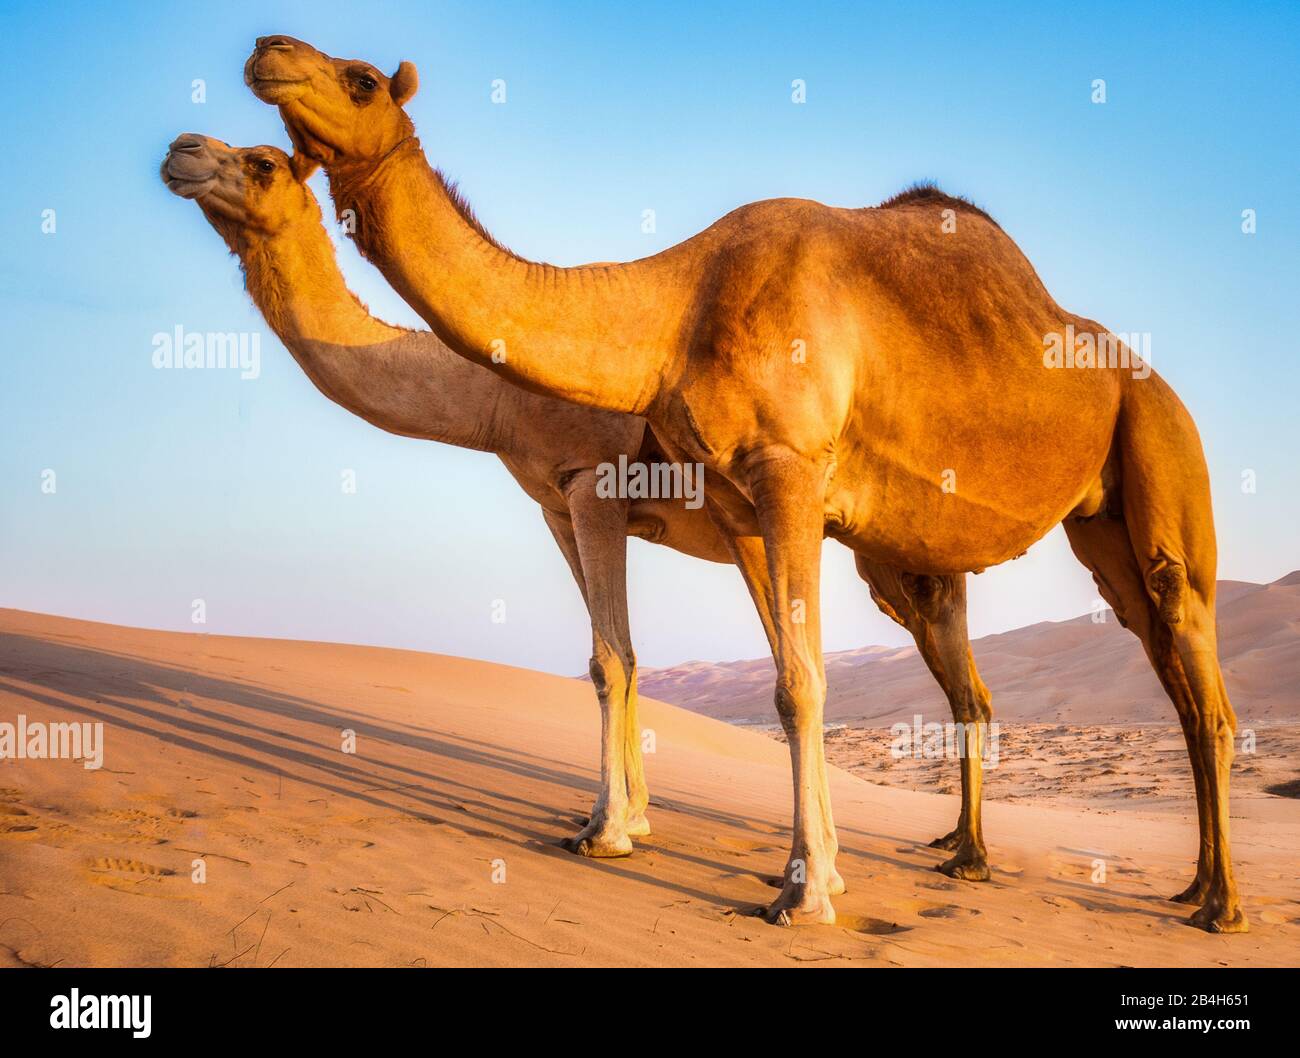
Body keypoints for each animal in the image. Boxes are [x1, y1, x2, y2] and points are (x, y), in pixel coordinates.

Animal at [245, 36, 1246, 933]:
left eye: (359, 79)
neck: (675, 311)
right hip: (1040, 539)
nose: (265, 50)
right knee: (1105, 671)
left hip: (1162, 441)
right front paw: (811, 872)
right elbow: (762, 674)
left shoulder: (747, 473)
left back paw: (1222, 906)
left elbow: (774, 681)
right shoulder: (736, 507)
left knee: (1194, 655)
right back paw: (1033, 865)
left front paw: (784, 889)